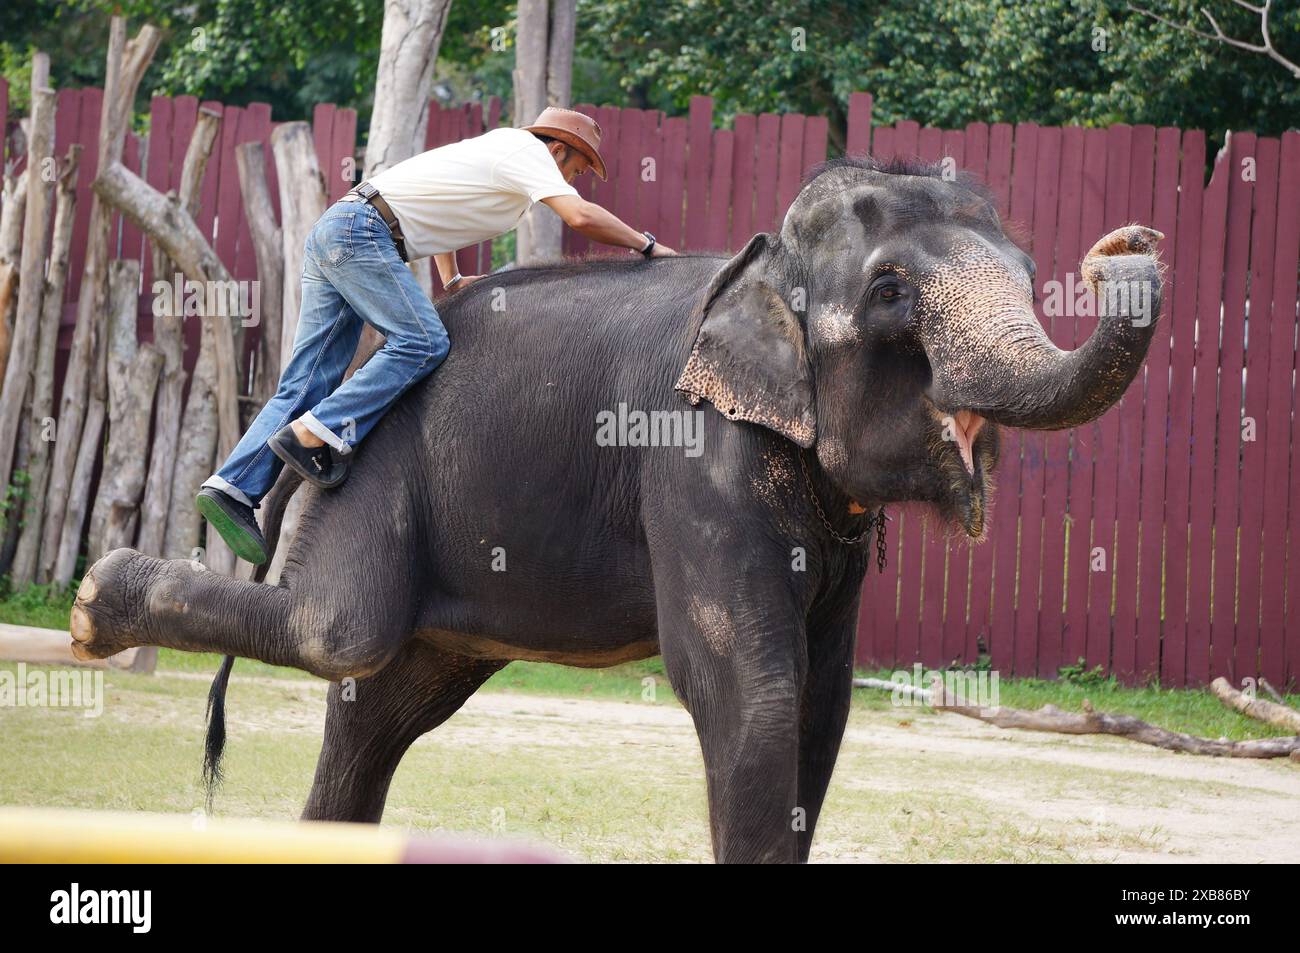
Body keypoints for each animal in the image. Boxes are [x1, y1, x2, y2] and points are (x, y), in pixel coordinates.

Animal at [68, 156, 1163, 863]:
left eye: (1032, 276)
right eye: (892, 292)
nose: (1126, 243)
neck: (764, 270)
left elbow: (822, 702)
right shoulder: (693, 459)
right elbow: (750, 689)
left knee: (374, 702)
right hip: (379, 470)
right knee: (341, 630)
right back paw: (95, 600)